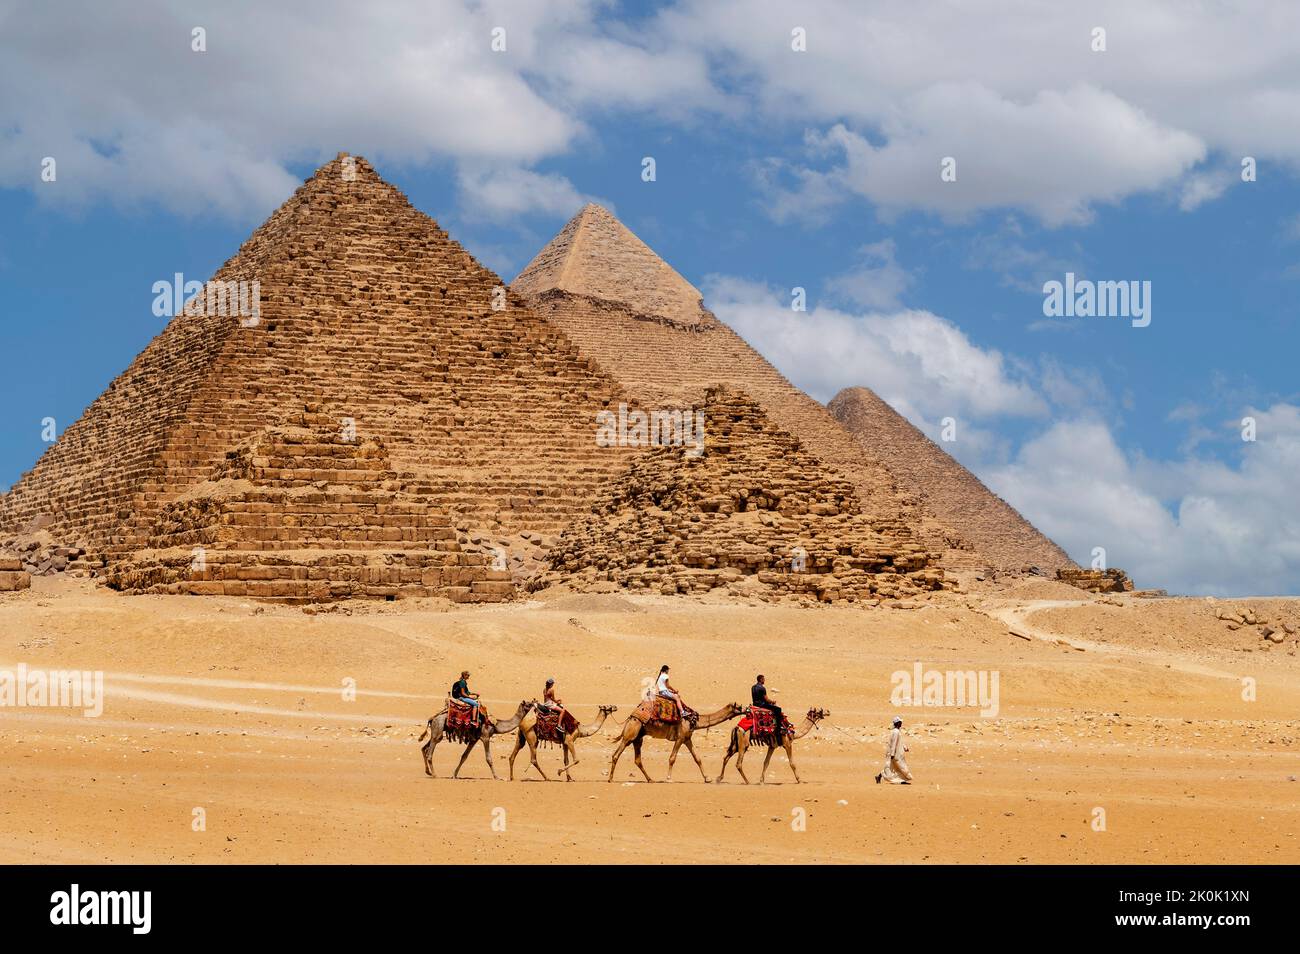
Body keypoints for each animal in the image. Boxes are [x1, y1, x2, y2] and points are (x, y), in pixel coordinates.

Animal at [607, 701, 744, 783]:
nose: (747, 709)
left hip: (638, 738)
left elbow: (697, 758)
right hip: (630, 734)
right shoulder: (680, 738)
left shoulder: (687, 738)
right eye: (739, 707)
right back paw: (610, 779)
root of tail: (630, 717)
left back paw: (650, 779)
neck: (694, 720)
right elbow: (672, 758)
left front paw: (707, 778)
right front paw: (668, 778)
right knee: (616, 754)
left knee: (637, 760)